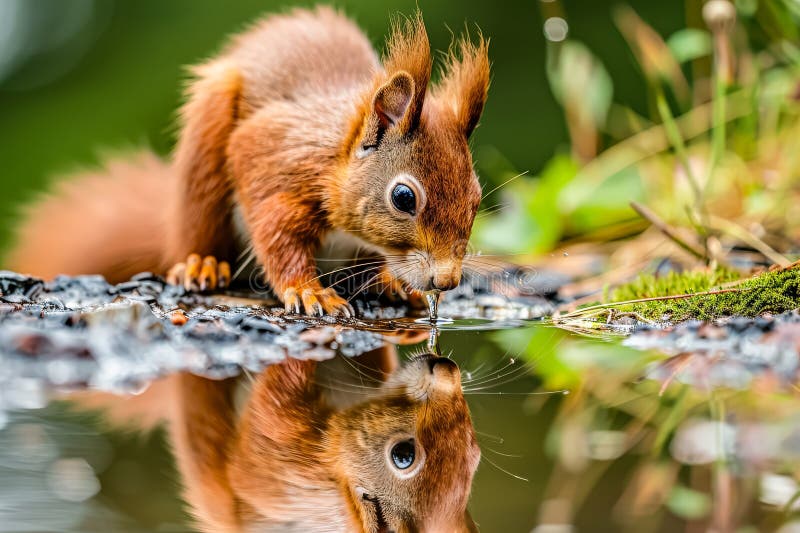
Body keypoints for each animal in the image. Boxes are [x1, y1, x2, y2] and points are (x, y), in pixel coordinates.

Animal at [6, 7, 490, 317]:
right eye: (404, 198)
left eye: (477, 197)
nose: (446, 282)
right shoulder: (275, 164)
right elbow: (276, 236)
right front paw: (308, 292)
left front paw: (391, 282)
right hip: (203, 158)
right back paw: (201, 264)